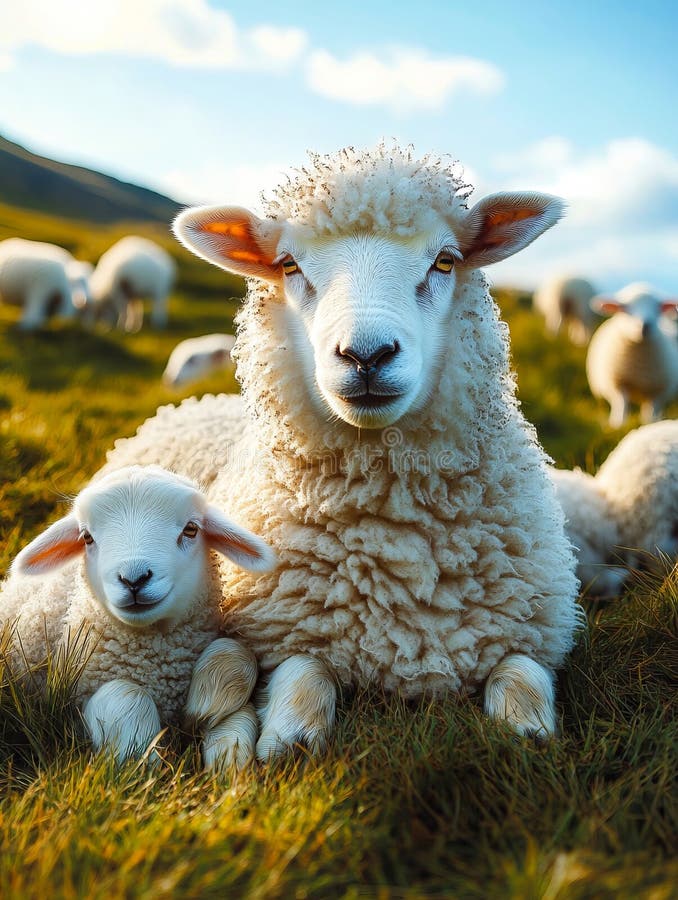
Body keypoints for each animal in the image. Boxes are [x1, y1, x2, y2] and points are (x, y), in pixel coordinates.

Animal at [1, 465, 275, 767]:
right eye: (87, 537)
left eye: (191, 529)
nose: (134, 579)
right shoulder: (72, 707)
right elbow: (126, 693)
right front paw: (143, 761)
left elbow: (238, 652)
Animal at [101, 144, 582, 756]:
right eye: (289, 266)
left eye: (445, 261)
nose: (366, 355)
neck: (391, 527)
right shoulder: (290, 627)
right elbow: (301, 684)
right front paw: (283, 742)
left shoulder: (532, 630)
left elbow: (523, 686)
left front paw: (528, 733)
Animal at [586, 283, 678, 427]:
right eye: (624, 308)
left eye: (657, 308)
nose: (645, 325)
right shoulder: (619, 384)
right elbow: (622, 404)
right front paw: (619, 424)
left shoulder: (658, 390)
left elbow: (653, 408)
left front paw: (650, 423)